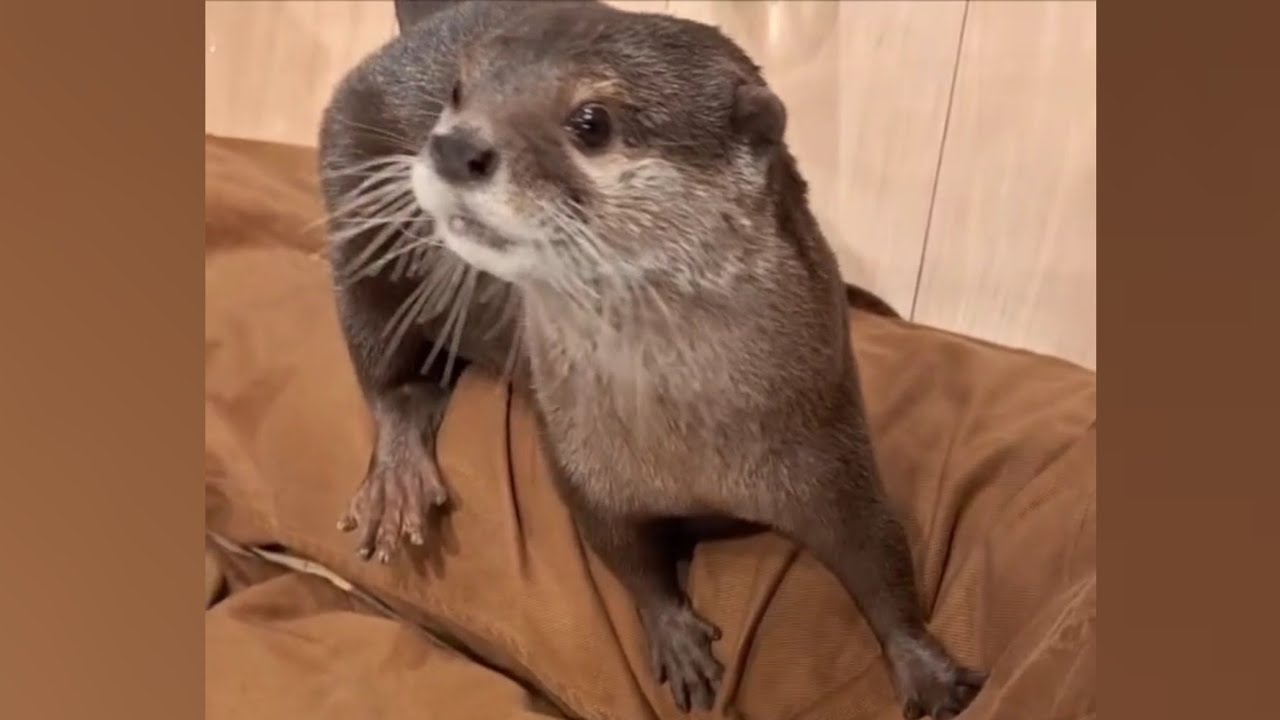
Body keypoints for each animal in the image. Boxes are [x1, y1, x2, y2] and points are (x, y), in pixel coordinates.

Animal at [317, 2, 984, 718]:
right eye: (458, 91)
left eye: (591, 121)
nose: (451, 144)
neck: (687, 444)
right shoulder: (582, 466)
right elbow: (624, 554)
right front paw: (675, 635)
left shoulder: (830, 442)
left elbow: (878, 555)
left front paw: (928, 670)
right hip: (359, 242)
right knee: (386, 373)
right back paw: (399, 478)